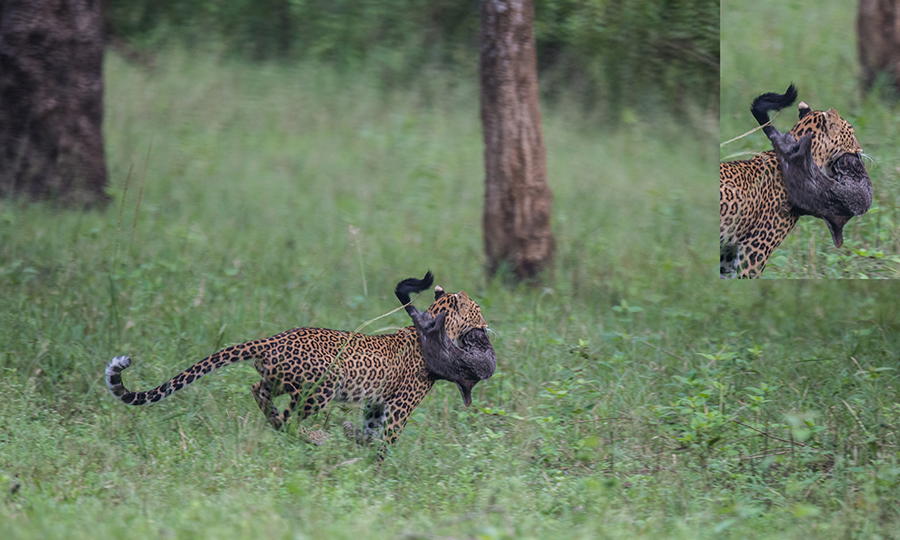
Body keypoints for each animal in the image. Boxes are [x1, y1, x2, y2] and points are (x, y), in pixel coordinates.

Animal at [105, 272, 494, 452]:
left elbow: (371, 430)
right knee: (290, 418)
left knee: (259, 391)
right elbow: (388, 438)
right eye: (478, 309)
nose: (489, 326)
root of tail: (275, 338)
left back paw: (283, 425)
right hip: (319, 389)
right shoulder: (400, 406)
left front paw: (360, 444)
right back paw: (313, 437)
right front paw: (380, 466)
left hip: (281, 380)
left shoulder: (376, 403)